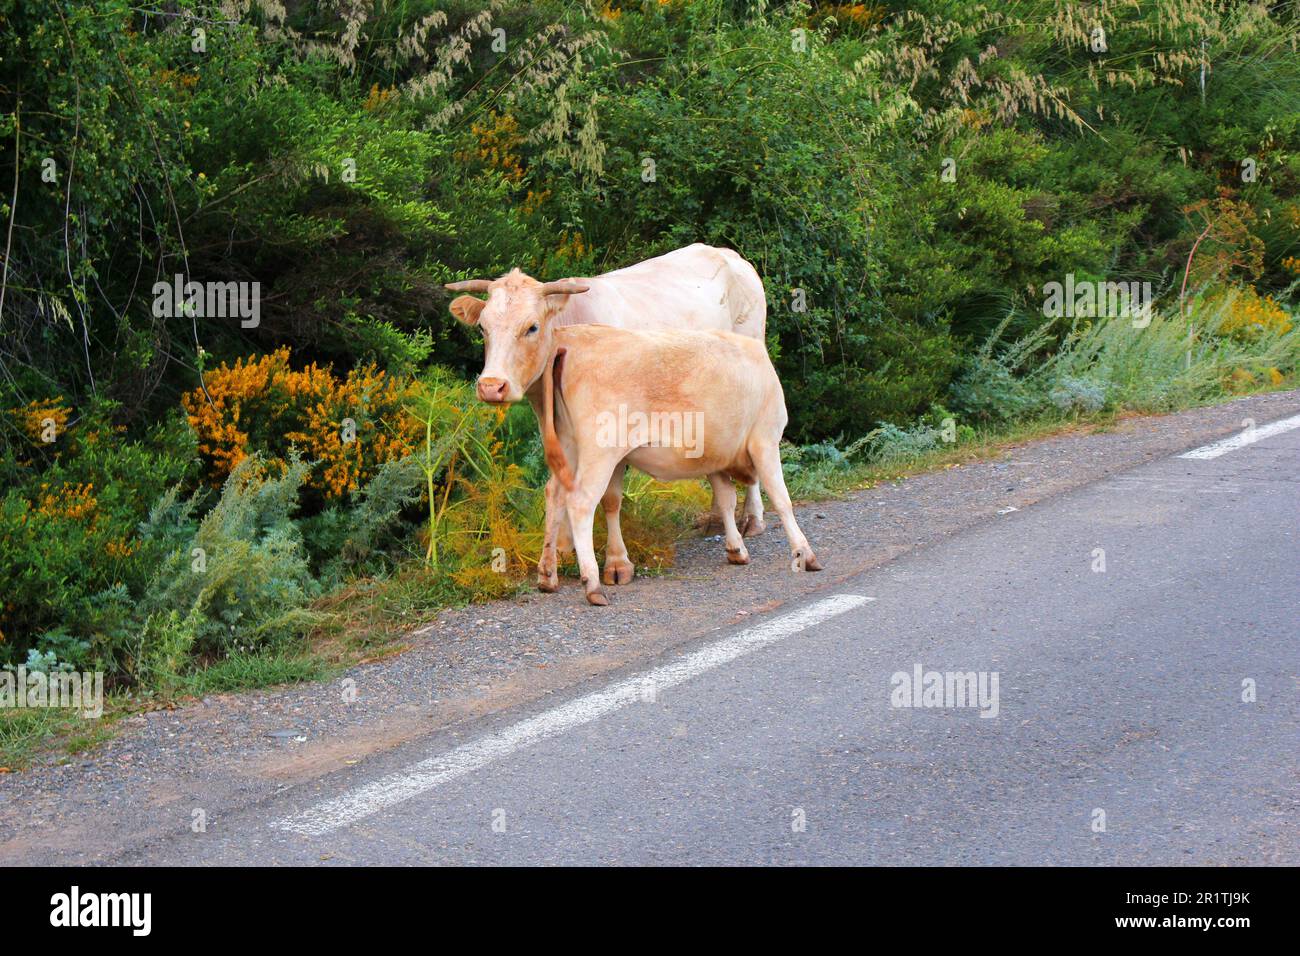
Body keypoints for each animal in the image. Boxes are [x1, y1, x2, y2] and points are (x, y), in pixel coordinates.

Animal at [446, 244, 769, 593]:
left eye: (532, 327)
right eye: (483, 327)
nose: (491, 386)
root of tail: (724, 252)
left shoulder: (612, 432)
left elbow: (610, 498)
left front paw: (616, 562)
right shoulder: (555, 426)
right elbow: (561, 486)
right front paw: (563, 549)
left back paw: (753, 518)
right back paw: (715, 518)